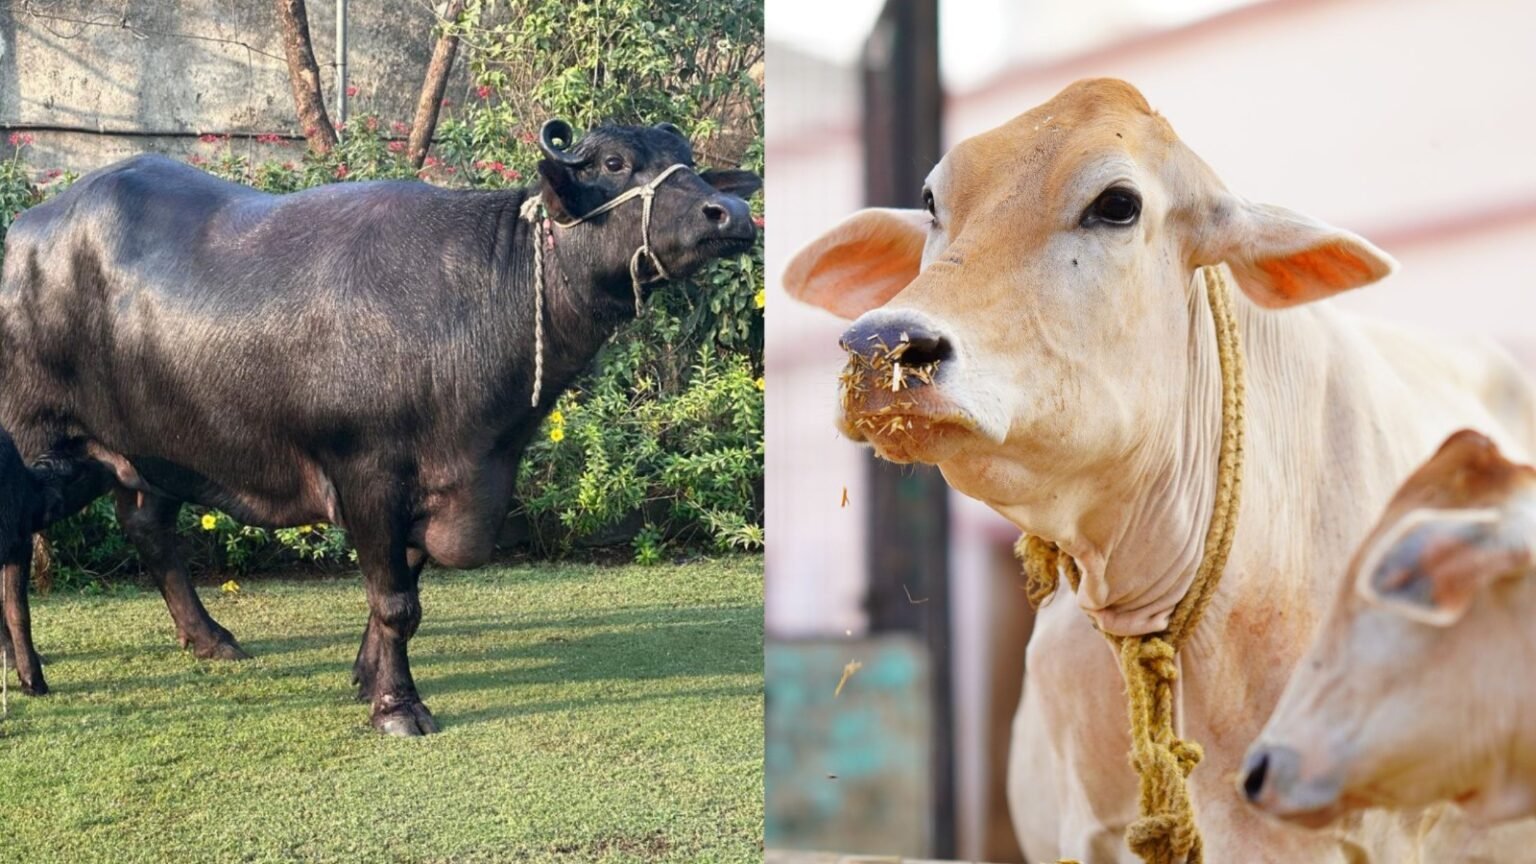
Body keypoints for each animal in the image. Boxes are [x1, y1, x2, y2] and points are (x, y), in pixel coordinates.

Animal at [0, 119, 760, 736]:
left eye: (688, 160)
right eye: (611, 162)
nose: (731, 213)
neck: (485, 294)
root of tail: (25, 233)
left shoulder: (438, 482)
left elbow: (403, 591)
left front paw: (367, 677)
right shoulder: (367, 473)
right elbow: (395, 601)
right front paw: (399, 707)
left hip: (134, 449)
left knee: (147, 526)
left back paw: (209, 638)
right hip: (35, 440)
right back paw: (28, 670)